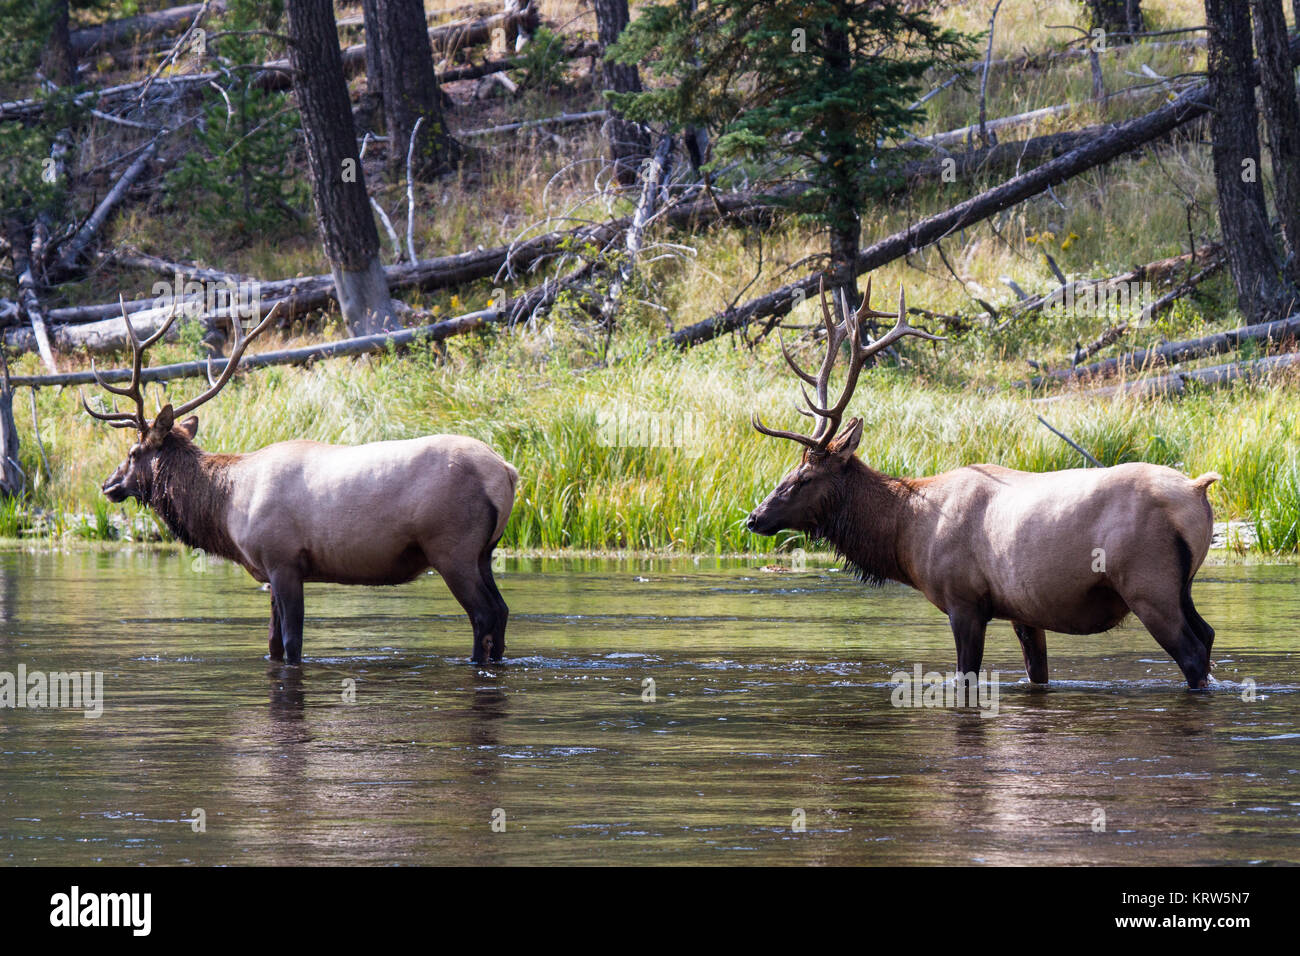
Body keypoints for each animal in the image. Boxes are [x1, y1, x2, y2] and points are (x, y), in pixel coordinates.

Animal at [83, 301, 518, 666]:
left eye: (132, 452)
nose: (107, 484)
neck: (225, 507)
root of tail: (506, 471)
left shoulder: (283, 560)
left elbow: (292, 644)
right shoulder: (272, 570)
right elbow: (273, 644)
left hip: (451, 547)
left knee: (483, 614)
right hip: (484, 552)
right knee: (501, 611)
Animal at [746, 276, 1221, 689]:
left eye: (803, 477)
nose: (753, 518)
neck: (906, 534)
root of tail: (1198, 489)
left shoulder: (964, 601)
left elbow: (966, 676)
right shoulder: (1023, 610)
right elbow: (1036, 673)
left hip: (1148, 584)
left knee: (1192, 653)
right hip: (1181, 587)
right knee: (1209, 635)